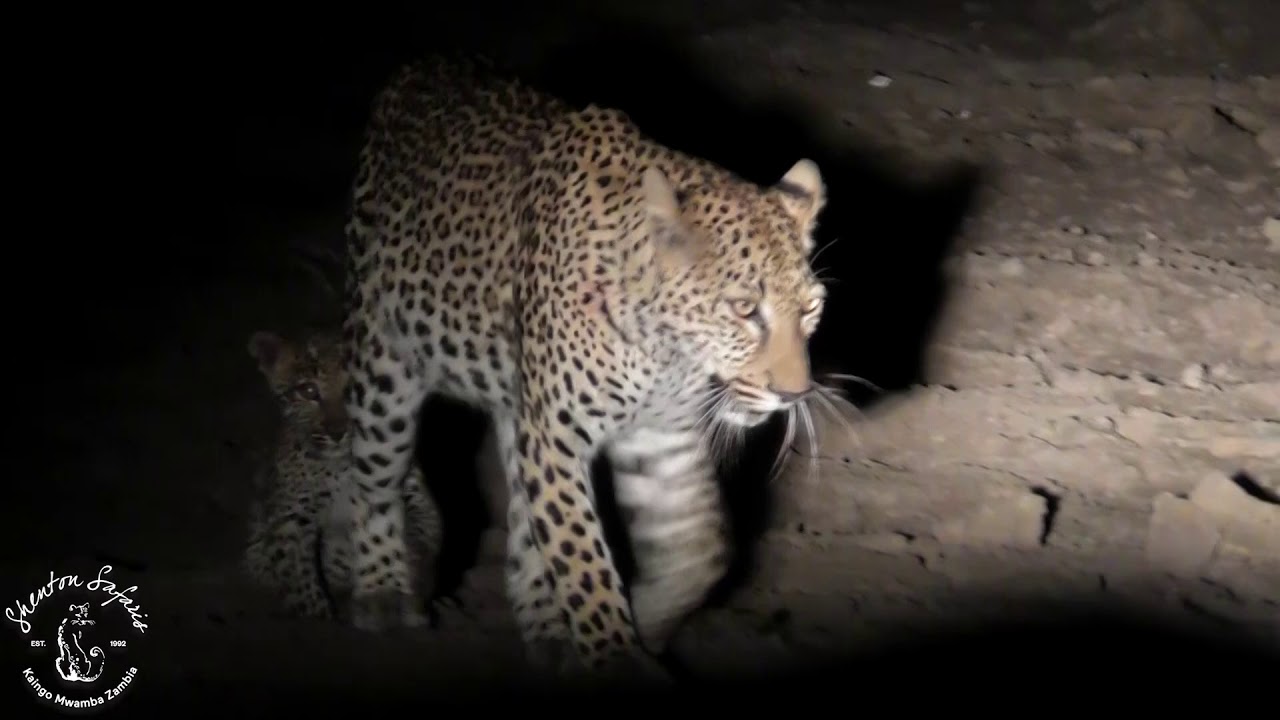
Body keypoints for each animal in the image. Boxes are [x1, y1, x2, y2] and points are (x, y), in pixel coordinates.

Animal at [242, 328, 444, 624]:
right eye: (308, 391)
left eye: (360, 388)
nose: (337, 432)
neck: (343, 466)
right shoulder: (291, 521)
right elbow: (303, 583)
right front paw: (321, 617)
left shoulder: (416, 499)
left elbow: (419, 540)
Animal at [340, 54, 830, 679]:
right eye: (745, 310)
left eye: (811, 308)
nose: (795, 394)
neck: (666, 355)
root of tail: (422, 67)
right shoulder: (556, 435)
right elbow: (582, 557)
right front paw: (617, 656)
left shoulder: (661, 436)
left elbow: (697, 548)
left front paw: (646, 617)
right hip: (385, 361)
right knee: (375, 476)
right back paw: (380, 586)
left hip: (515, 408)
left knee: (524, 519)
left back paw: (545, 625)